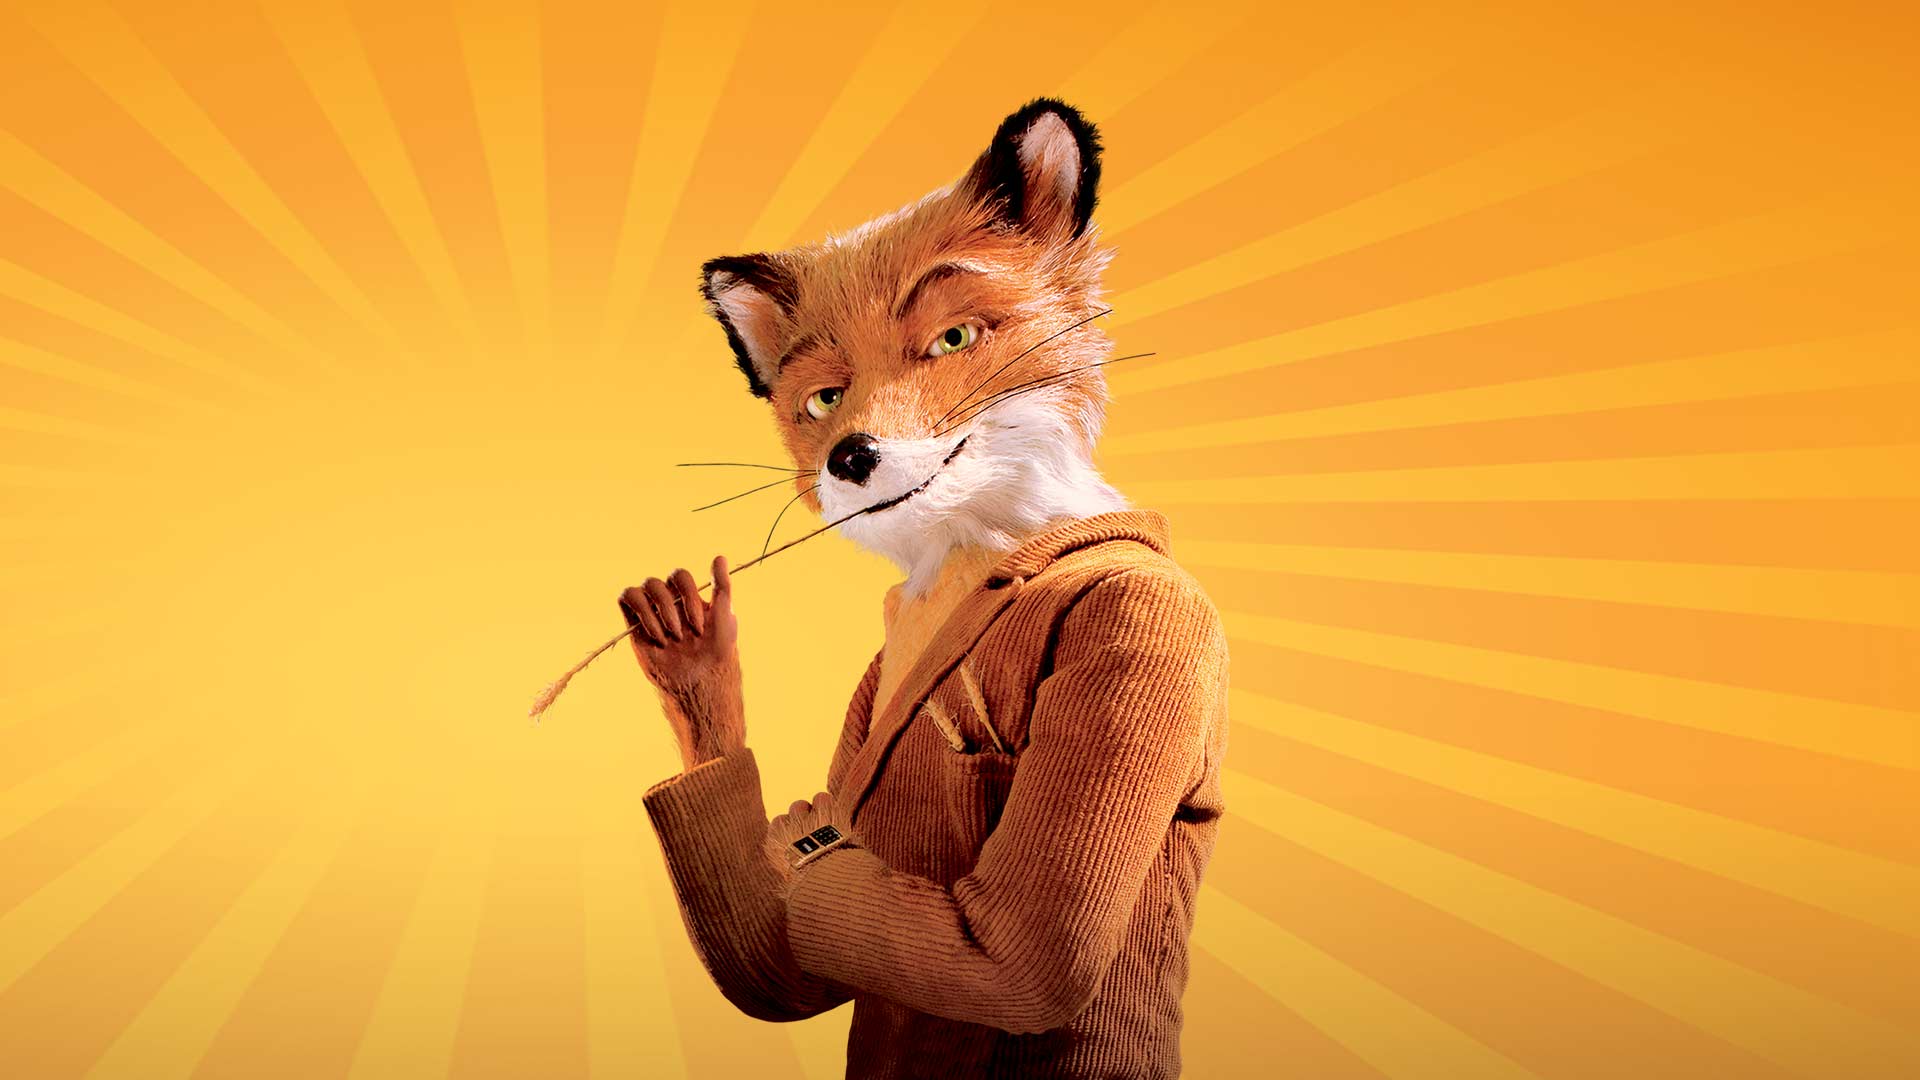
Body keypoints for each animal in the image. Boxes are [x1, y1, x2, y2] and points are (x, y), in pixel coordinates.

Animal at [618, 99, 1230, 1079]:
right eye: (824, 400)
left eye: (953, 338)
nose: (850, 456)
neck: (962, 568)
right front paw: (696, 669)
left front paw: (800, 839)